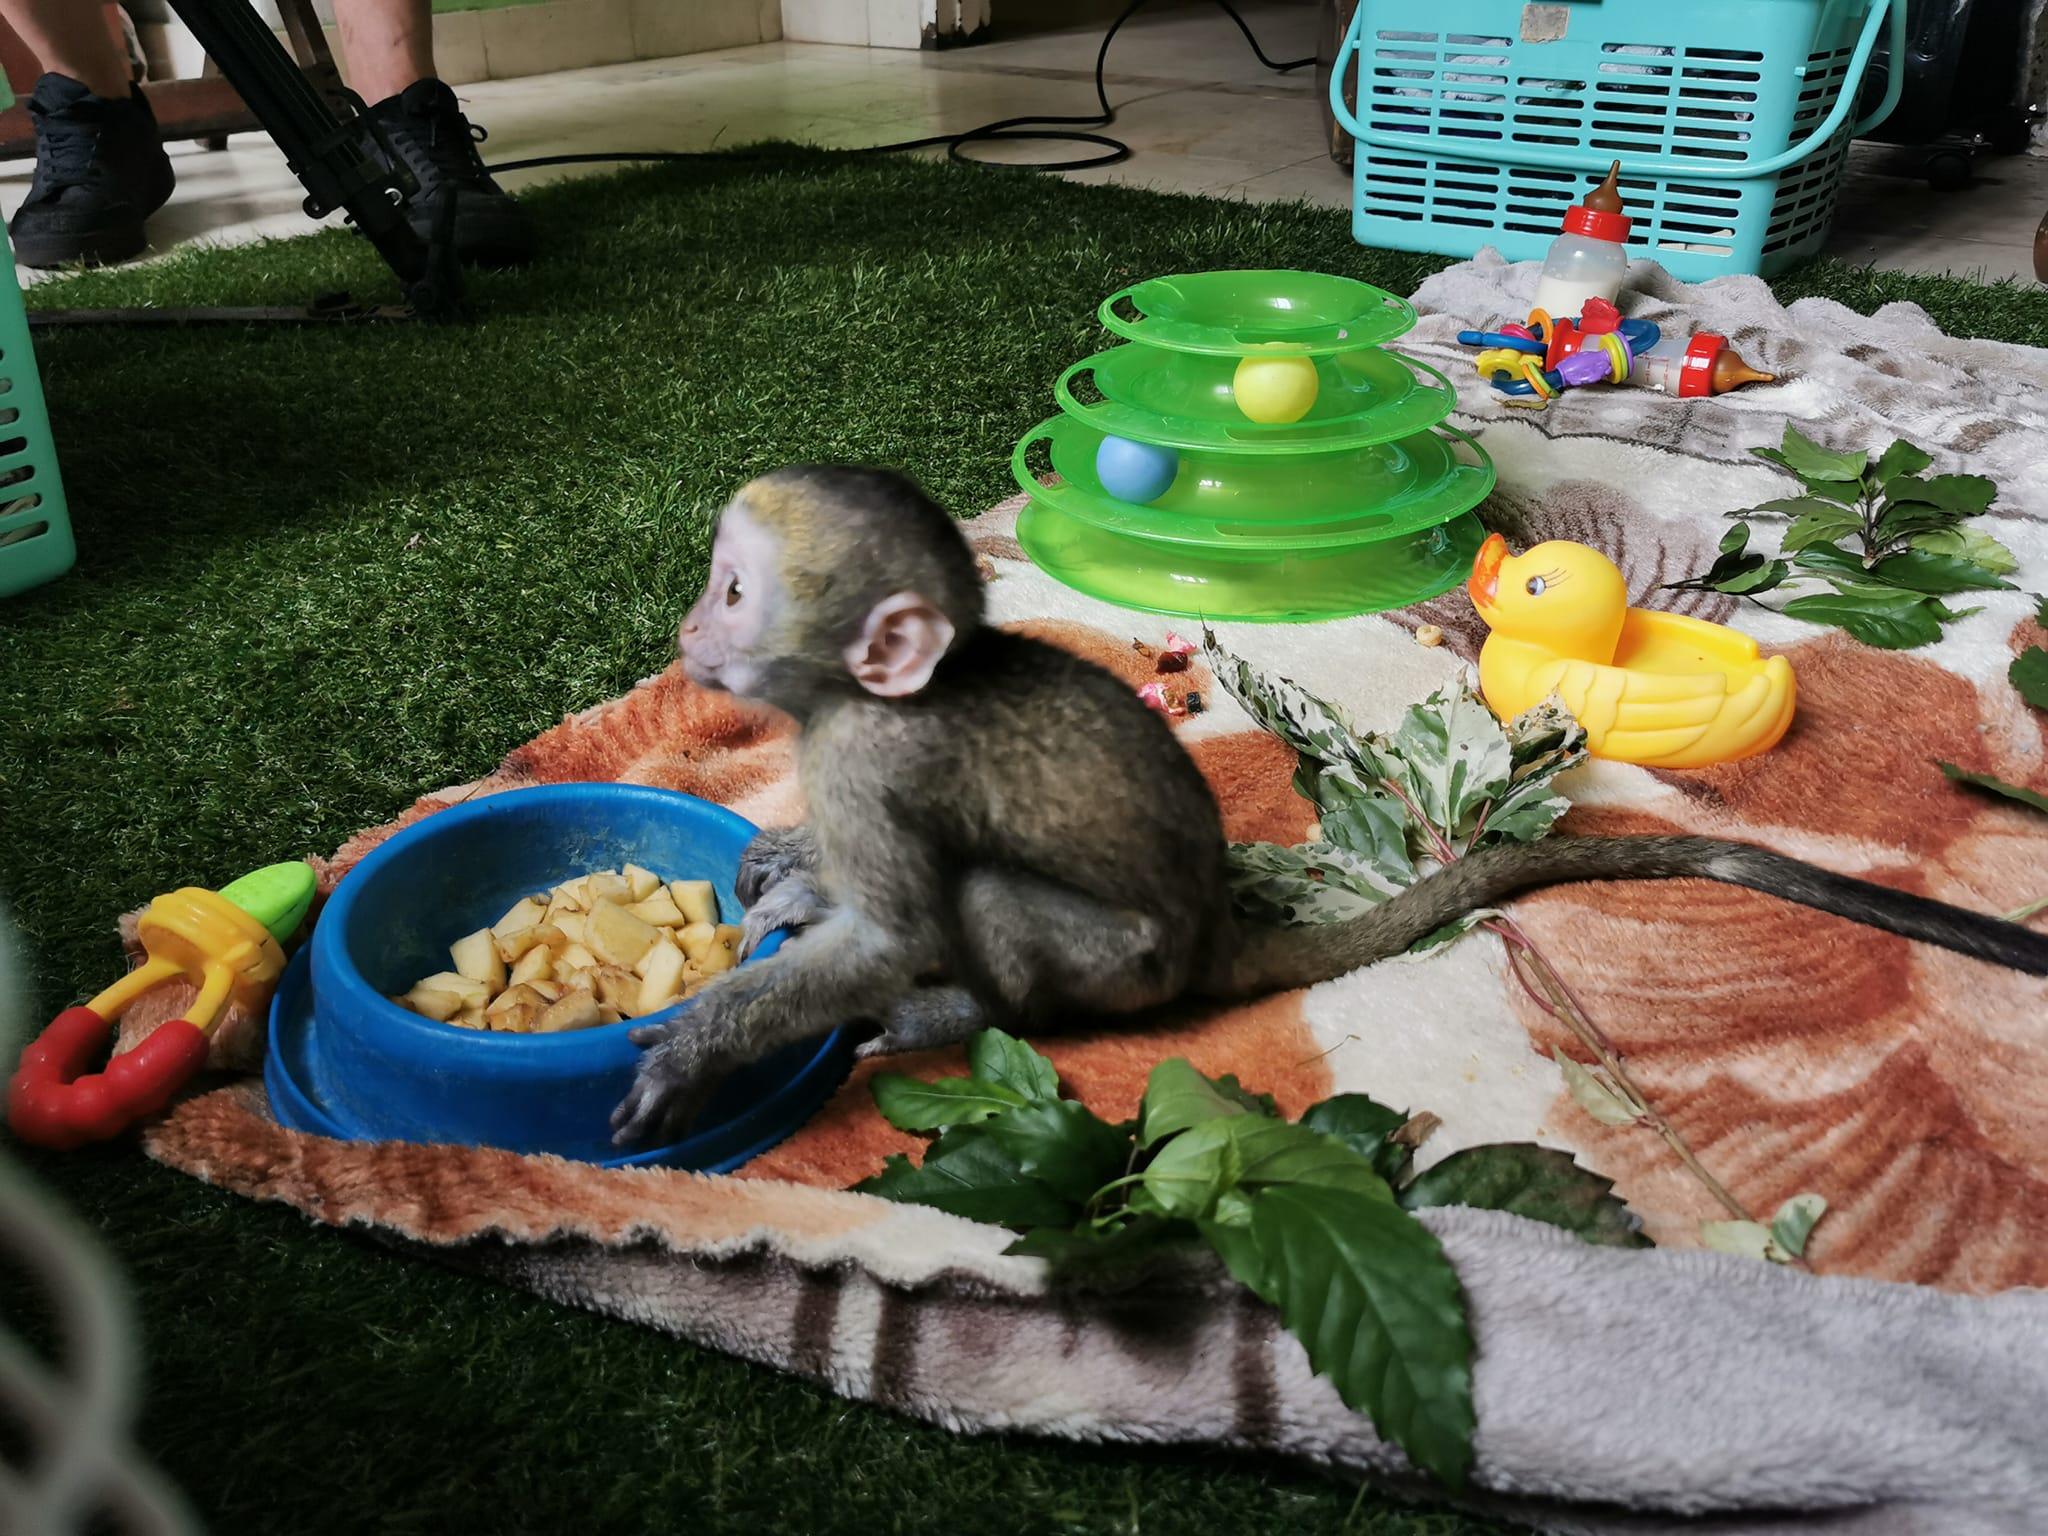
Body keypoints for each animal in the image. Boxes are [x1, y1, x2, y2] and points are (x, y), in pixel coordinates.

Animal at [609, 465, 2048, 1146]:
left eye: (734, 591)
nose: (687, 630)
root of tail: (1207, 935)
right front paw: (783, 870)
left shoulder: (870, 750)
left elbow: (894, 929)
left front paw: (697, 1046)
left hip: (1122, 967)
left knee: (989, 909)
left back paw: (965, 1015)